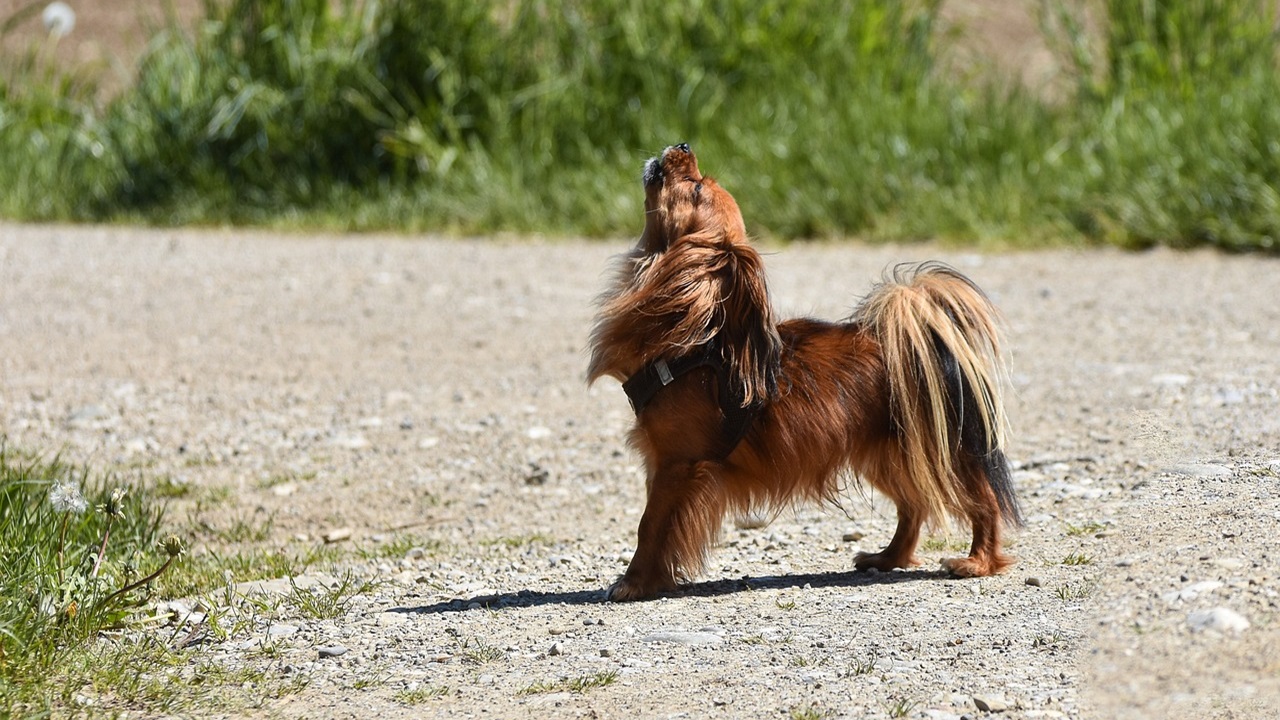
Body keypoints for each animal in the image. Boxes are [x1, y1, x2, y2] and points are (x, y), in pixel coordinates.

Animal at [589, 143, 1021, 601]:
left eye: (696, 187)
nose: (685, 145)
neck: (693, 337)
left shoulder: (677, 465)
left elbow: (650, 525)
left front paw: (633, 583)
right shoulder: (663, 466)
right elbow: (658, 527)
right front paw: (654, 579)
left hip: (935, 454)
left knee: (982, 501)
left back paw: (977, 562)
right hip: (886, 456)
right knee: (915, 504)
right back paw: (887, 558)